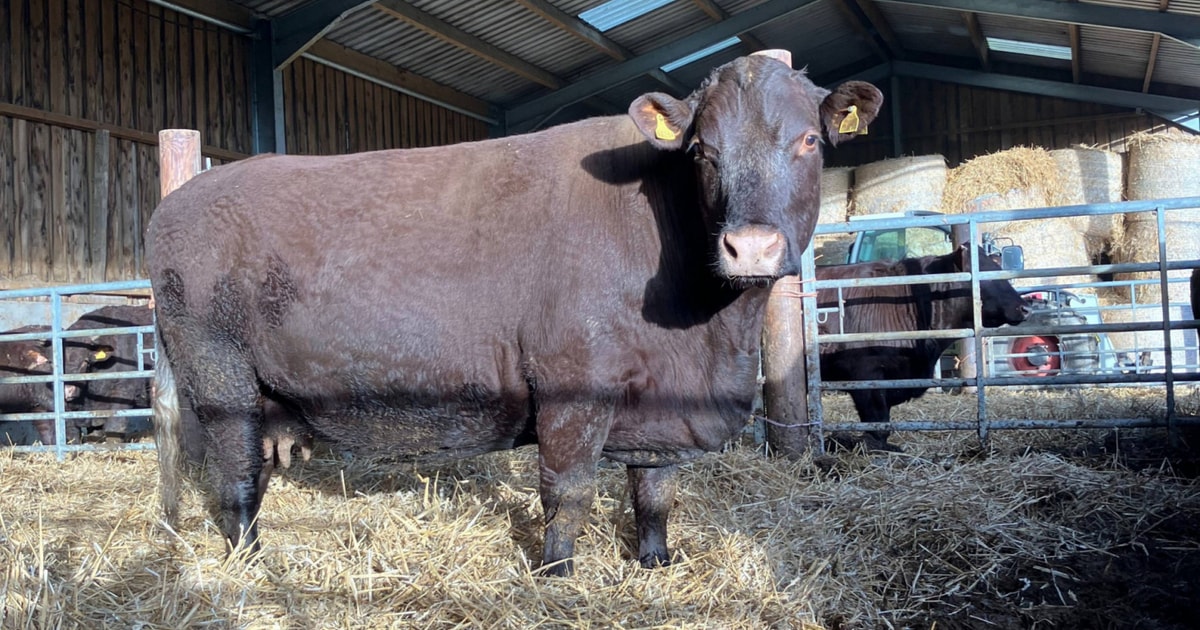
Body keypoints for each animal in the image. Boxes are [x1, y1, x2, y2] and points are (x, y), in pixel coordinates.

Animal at [147, 50, 883, 576]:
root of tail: (178, 201)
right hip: (219, 376)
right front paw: (557, 577)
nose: (749, 246)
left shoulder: (661, 405)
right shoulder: (571, 386)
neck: (708, 339)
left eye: (809, 142)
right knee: (235, 480)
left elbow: (654, 493)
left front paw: (656, 563)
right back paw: (249, 564)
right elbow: (568, 493)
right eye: (704, 151)